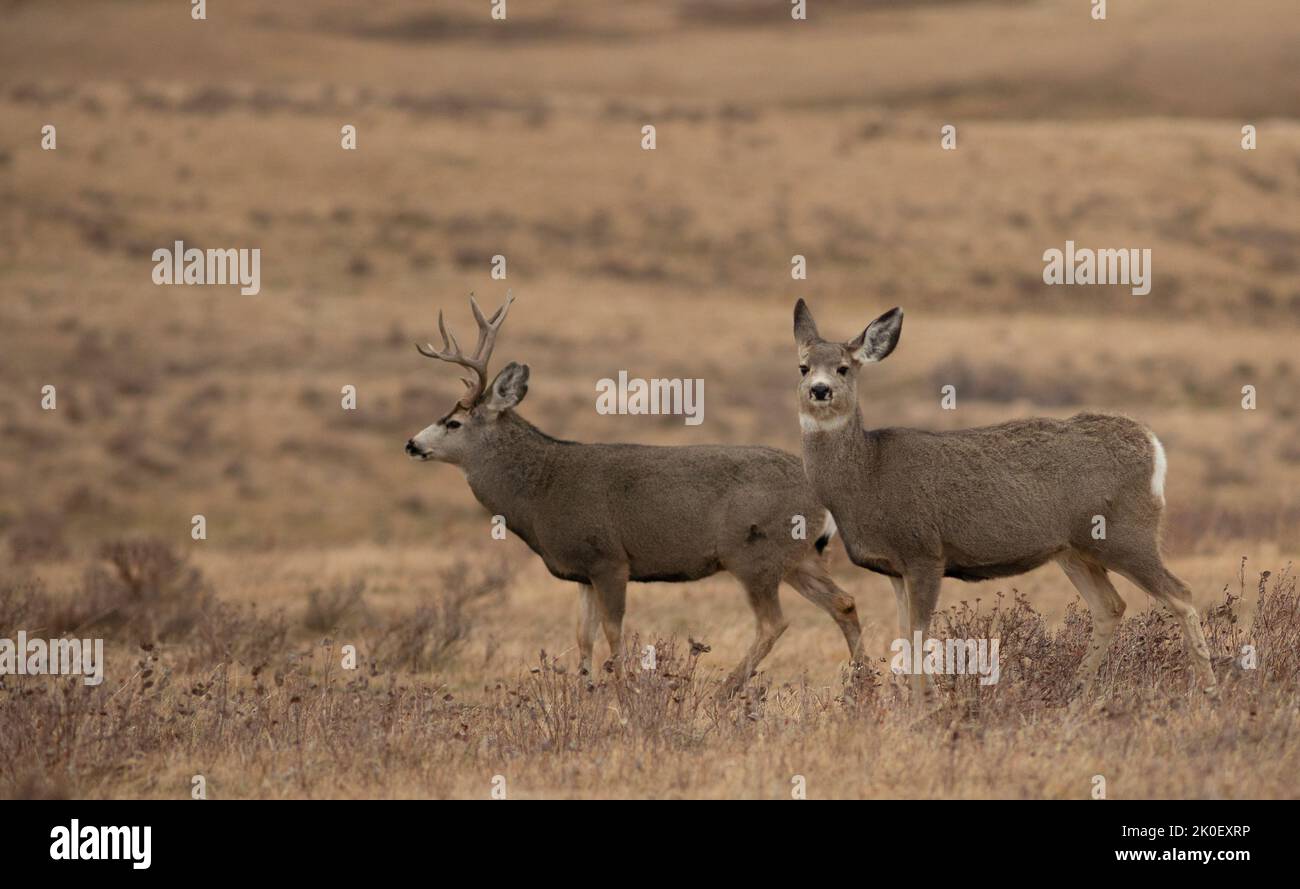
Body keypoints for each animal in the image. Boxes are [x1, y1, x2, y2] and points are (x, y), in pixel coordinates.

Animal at [404, 292, 863, 696]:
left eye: (453, 423)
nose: (411, 444)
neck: (541, 489)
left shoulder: (610, 558)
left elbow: (613, 632)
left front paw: (623, 691)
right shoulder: (582, 570)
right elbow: (583, 634)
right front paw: (586, 690)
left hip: (754, 554)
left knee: (774, 622)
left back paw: (725, 691)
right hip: (798, 556)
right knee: (844, 602)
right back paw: (862, 685)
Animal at [791, 299, 1219, 702]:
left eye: (843, 368)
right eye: (803, 367)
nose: (820, 390)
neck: (868, 476)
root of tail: (1152, 445)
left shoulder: (925, 552)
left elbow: (918, 637)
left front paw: (927, 710)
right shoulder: (895, 568)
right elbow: (904, 638)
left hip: (1126, 534)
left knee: (1180, 593)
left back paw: (1209, 689)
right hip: (1075, 550)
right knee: (1110, 606)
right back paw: (1073, 694)